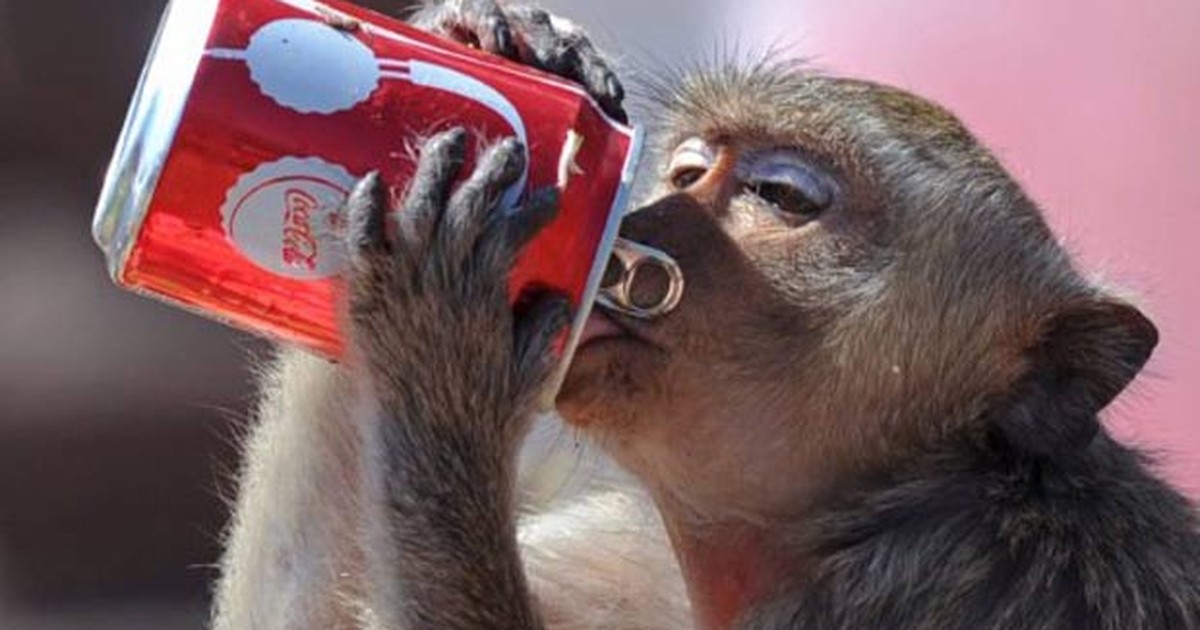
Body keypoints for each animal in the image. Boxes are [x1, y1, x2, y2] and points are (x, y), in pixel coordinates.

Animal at [211, 1, 1200, 629]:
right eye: (685, 171)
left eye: (781, 195)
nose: (637, 227)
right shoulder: (631, 560)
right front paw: (496, 45)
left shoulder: (951, 579)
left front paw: (443, 350)